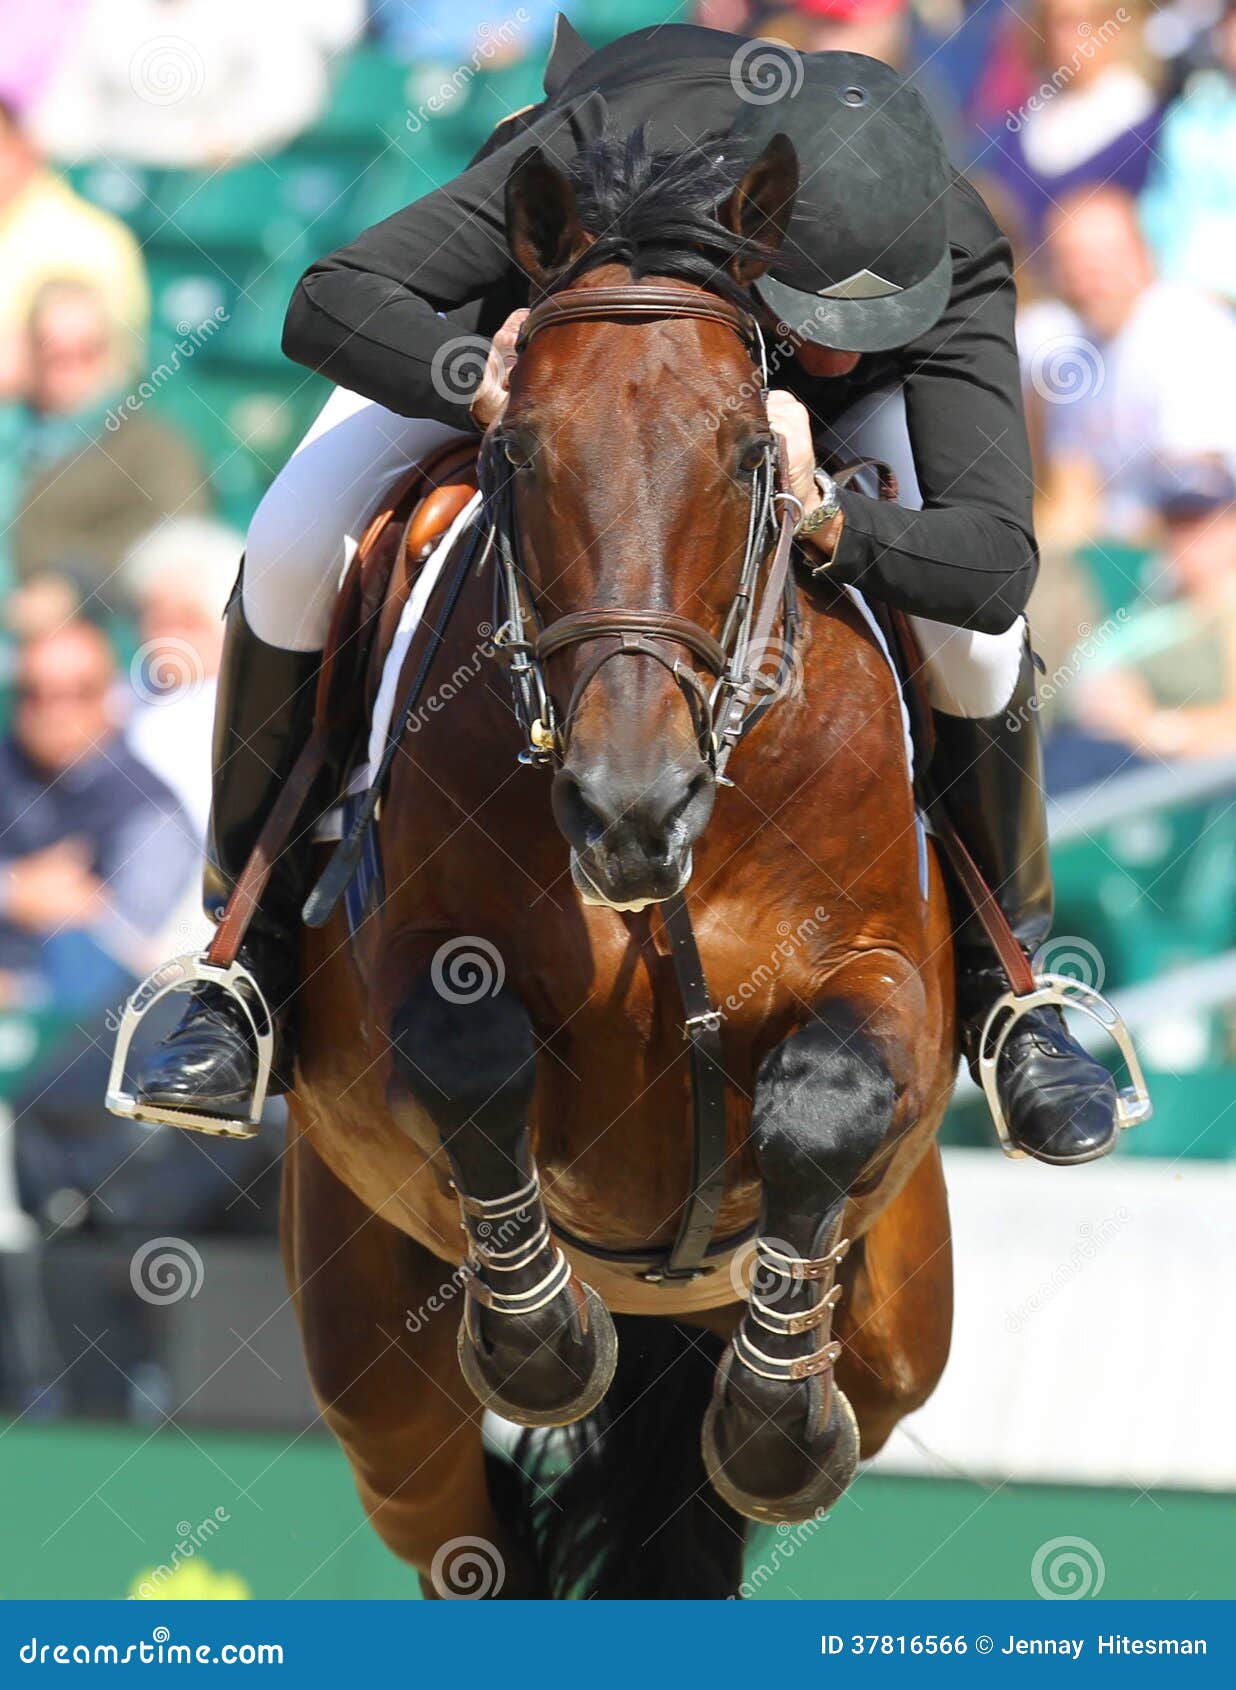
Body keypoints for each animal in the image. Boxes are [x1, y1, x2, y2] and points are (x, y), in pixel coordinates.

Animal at [282, 129, 958, 1599]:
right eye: (519, 454)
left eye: (748, 459)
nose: (628, 810)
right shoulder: (421, 953)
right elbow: (469, 1047)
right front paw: (544, 1334)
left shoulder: (887, 968)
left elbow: (827, 1095)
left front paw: (775, 1420)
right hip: (370, 1355)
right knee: (455, 1523)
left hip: (903, 1316)